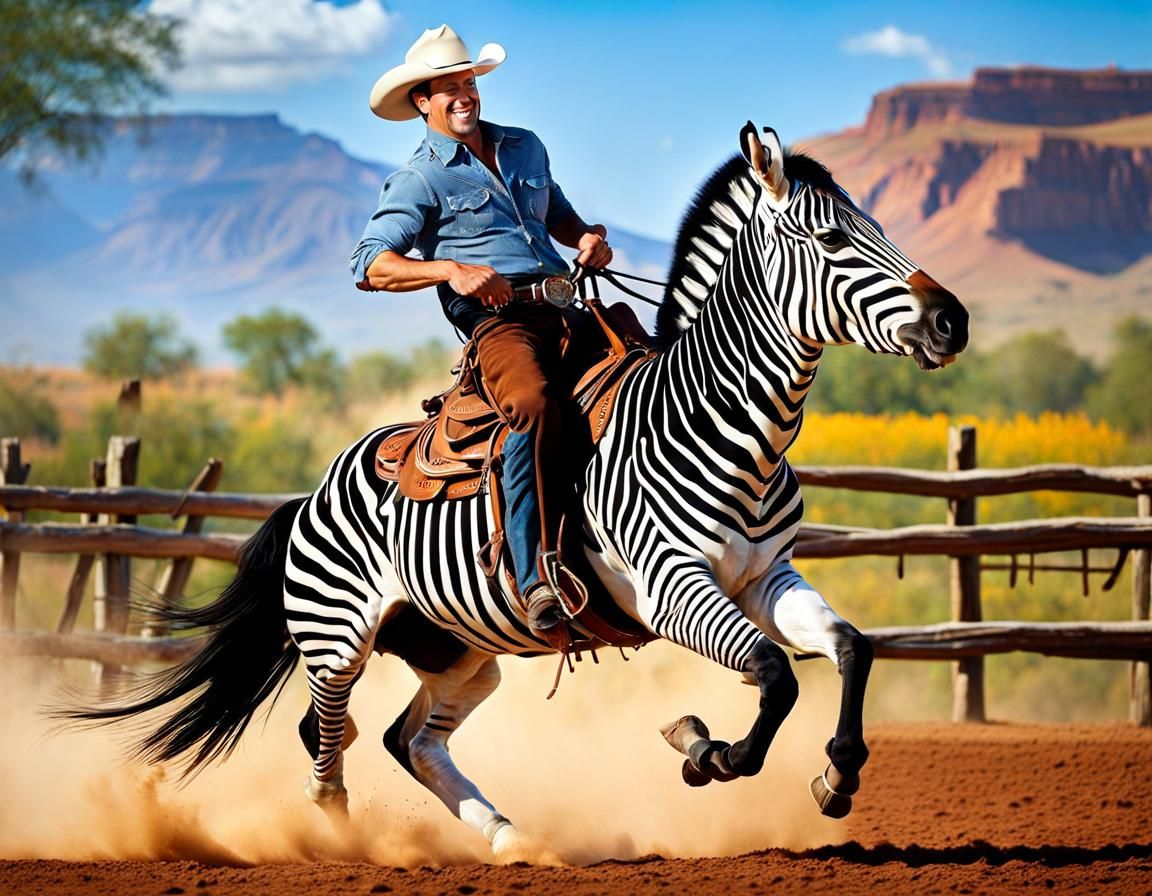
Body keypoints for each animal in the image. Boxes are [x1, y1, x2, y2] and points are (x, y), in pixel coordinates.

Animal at [60, 122, 968, 857]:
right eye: (830, 238)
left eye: (878, 226)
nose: (951, 320)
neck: (714, 422)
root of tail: (316, 491)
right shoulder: (669, 585)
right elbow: (774, 675)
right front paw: (703, 749)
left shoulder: (766, 577)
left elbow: (850, 647)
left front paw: (836, 778)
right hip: (337, 639)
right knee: (326, 734)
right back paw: (344, 838)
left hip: (461, 653)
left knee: (406, 741)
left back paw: (508, 836)